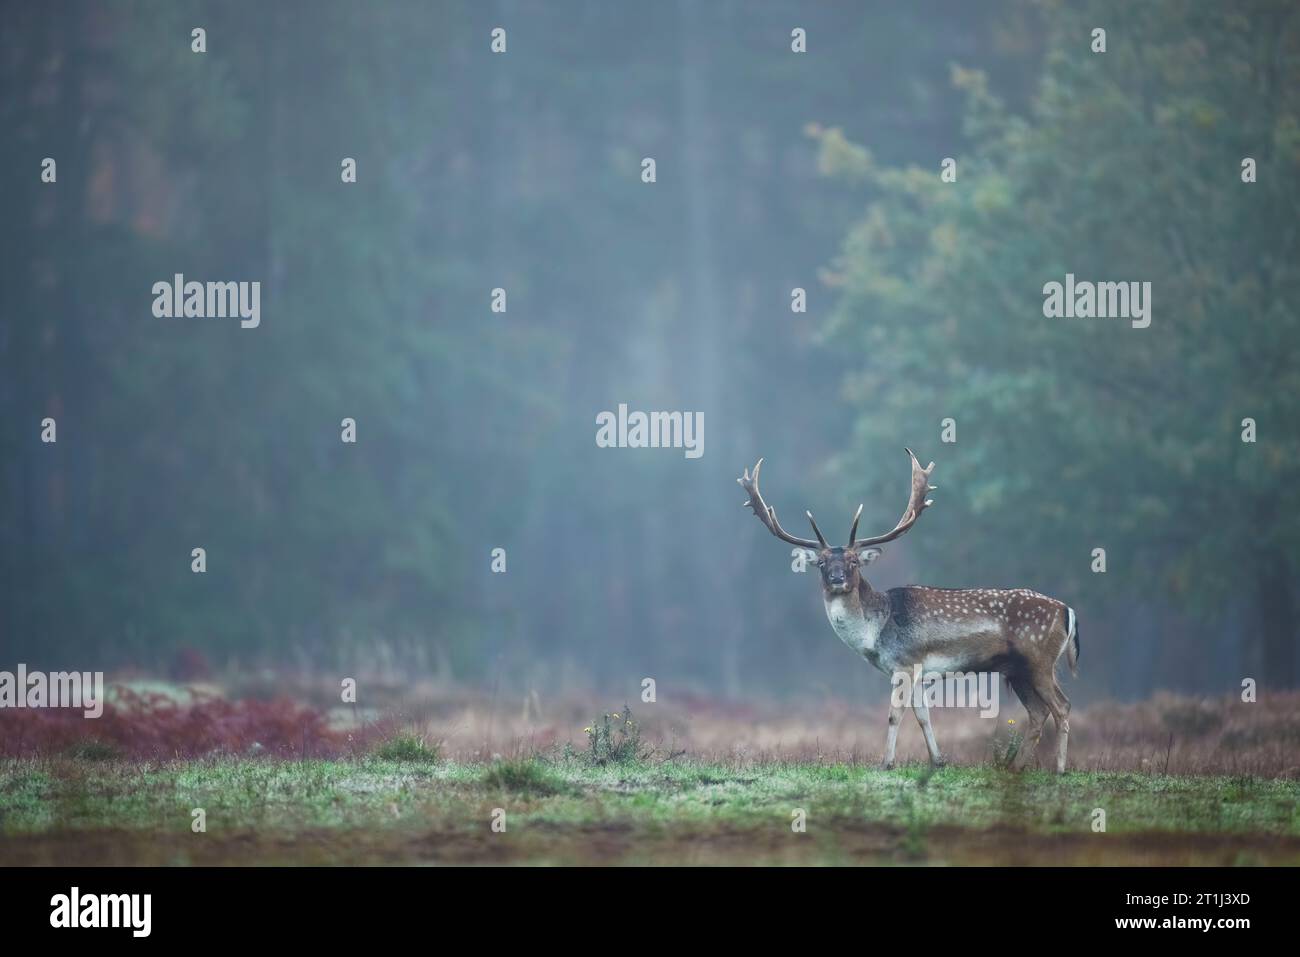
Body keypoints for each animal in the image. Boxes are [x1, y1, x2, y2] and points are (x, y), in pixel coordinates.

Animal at [738, 449, 1079, 773]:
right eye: (821, 563)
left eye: (854, 561)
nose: (836, 579)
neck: (875, 632)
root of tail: (1067, 611)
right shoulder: (919, 672)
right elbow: (923, 715)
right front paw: (937, 761)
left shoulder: (904, 663)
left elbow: (894, 715)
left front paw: (886, 763)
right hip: (1017, 669)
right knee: (1038, 712)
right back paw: (1016, 767)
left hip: (1039, 660)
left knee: (1062, 706)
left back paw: (1060, 769)